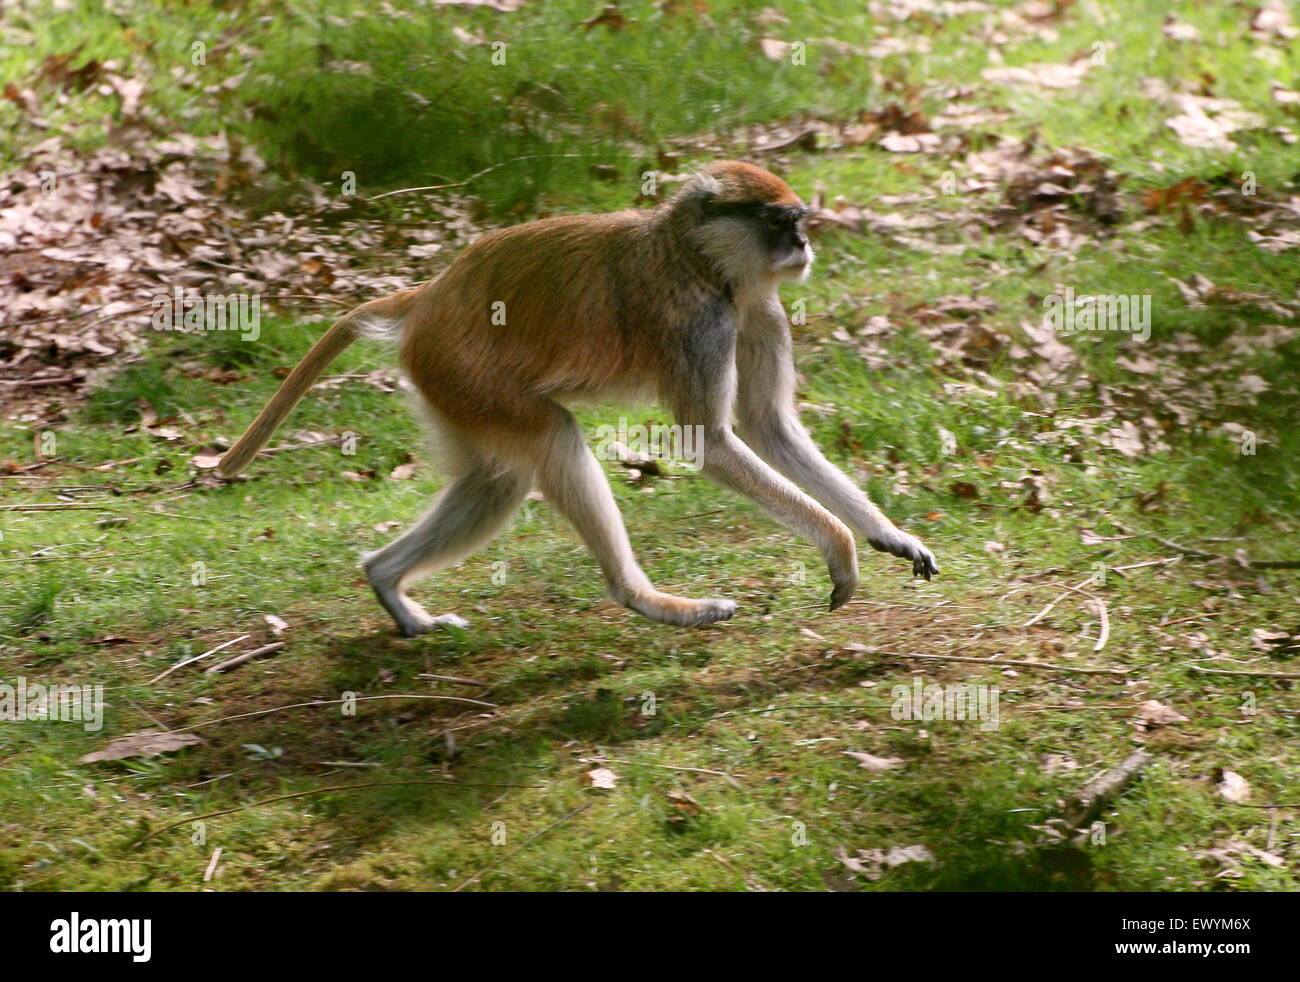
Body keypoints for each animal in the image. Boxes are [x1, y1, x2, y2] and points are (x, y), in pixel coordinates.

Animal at [217, 161, 938, 636]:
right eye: (780, 221)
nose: (804, 244)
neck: (693, 254)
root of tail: (431, 297)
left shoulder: (757, 309)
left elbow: (770, 428)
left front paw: (888, 535)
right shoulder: (698, 323)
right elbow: (710, 444)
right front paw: (841, 549)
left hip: (448, 386)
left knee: (496, 479)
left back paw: (387, 582)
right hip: (462, 370)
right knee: (553, 439)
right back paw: (647, 600)